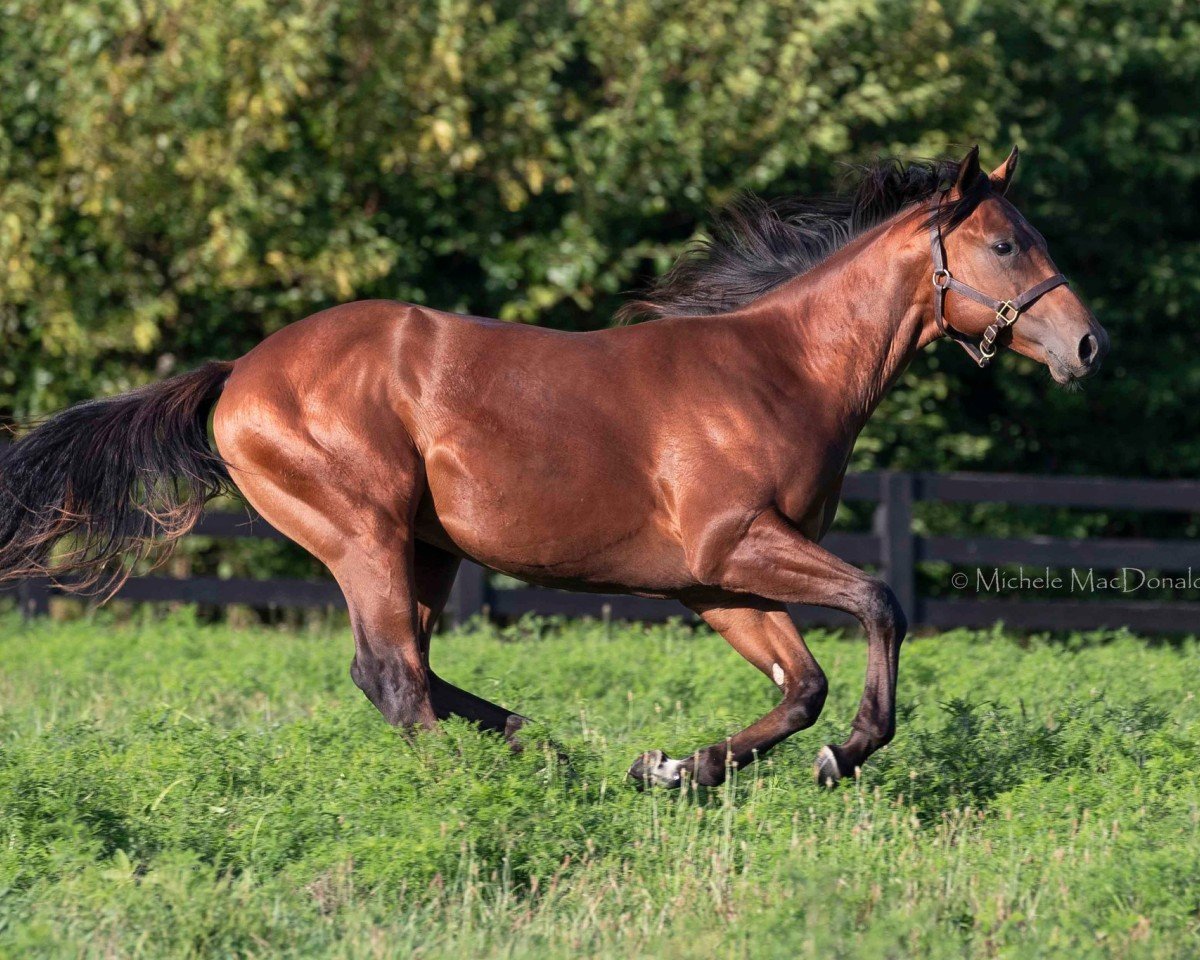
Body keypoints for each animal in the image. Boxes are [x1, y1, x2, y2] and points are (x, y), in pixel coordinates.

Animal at [0, 146, 1108, 788]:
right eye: (1005, 245)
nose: (1089, 346)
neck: (780, 370)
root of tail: (237, 375)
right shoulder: (739, 547)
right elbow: (880, 604)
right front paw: (845, 755)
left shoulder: (712, 582)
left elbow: (800, 684)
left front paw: (678, 766)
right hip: (363, 534)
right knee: (390, 674)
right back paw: (478, 793)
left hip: (429, 553)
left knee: (414, 672)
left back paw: (547, 751)